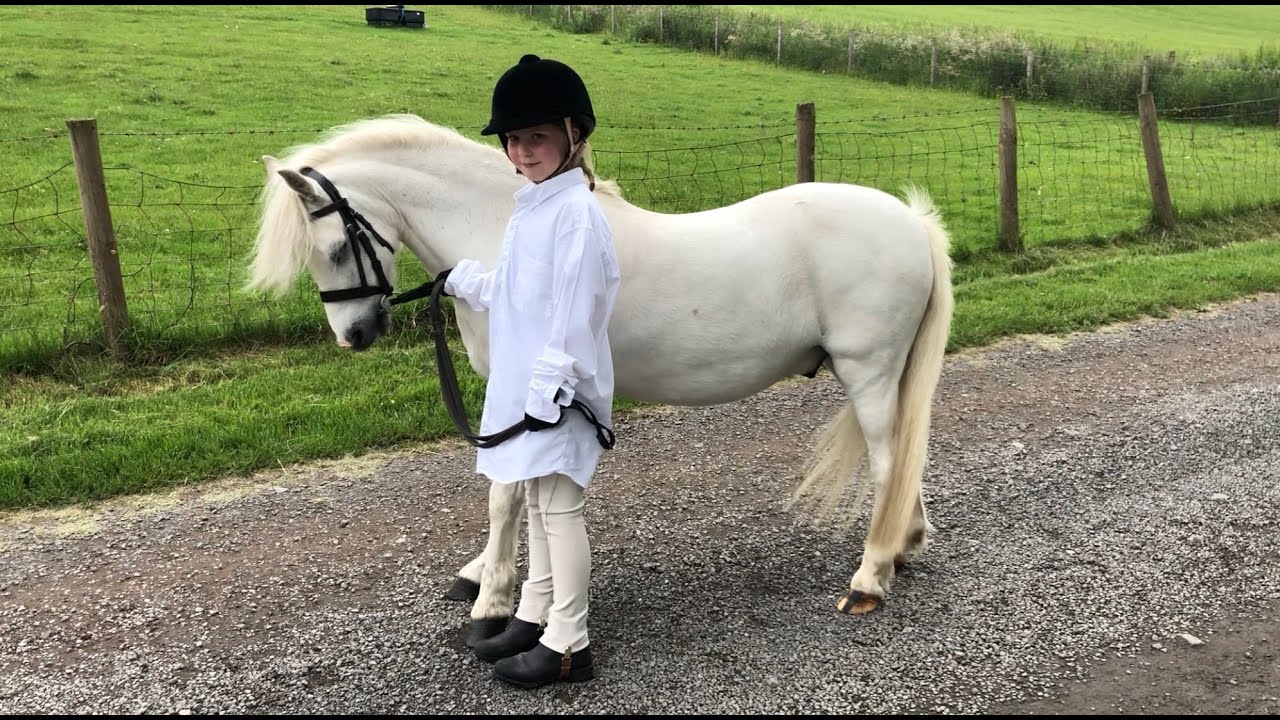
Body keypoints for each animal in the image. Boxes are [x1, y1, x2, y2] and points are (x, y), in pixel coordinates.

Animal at [246, 114, 954, 643]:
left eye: (337, 247)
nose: (355, 334)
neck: (505, 232)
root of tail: (911, 222)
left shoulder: (518, 393)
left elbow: (504, 494)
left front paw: (492, 598)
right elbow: (518, 493)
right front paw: (484, 576)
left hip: (867, 370)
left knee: (890, 461)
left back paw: (869, 577)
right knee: (902, 461)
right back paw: (904, 543)